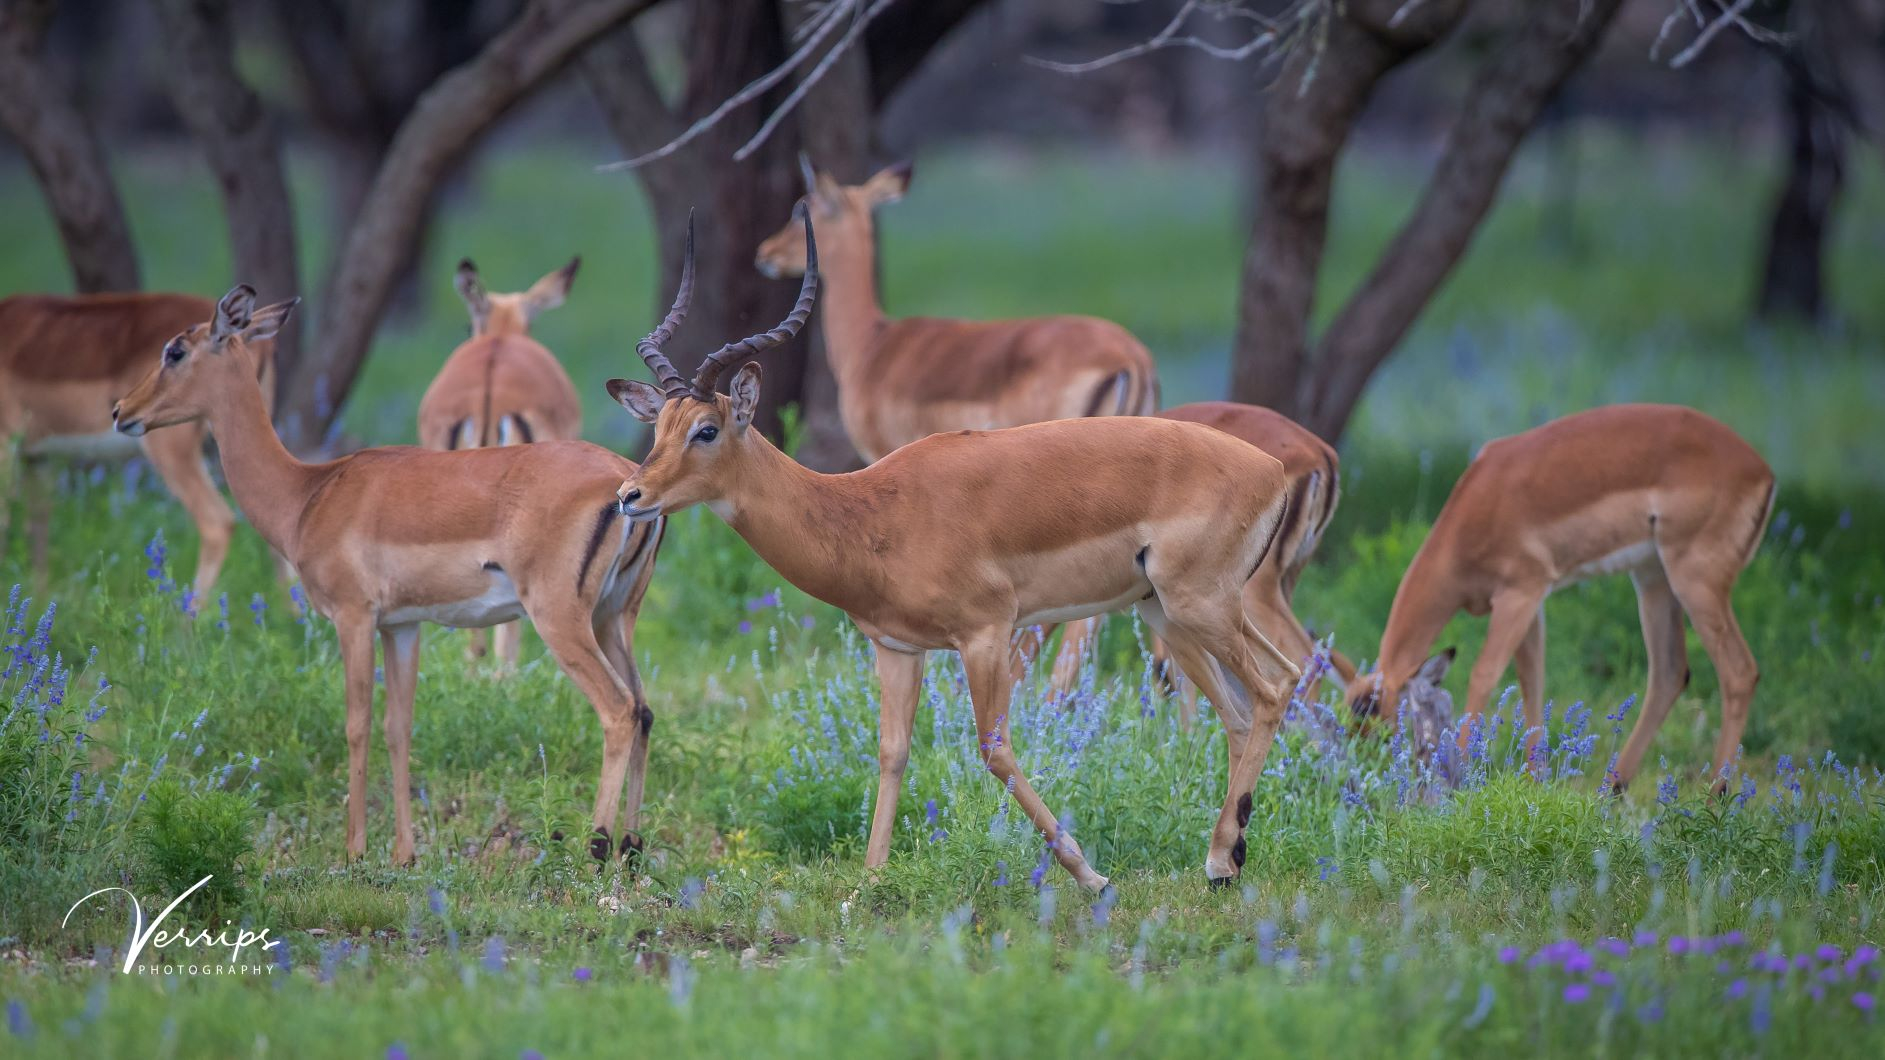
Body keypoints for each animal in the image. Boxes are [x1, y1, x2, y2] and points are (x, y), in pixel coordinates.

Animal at [0, 292, 278, 595]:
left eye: (175, 352)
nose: (119, 410)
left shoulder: (7, 443)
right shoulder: (37, 457)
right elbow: (38, 525)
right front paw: (40, 598)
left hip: (171, 451)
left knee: (218, 521)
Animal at [613, 210, 1299, 889]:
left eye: (706, 429)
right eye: (661, 426)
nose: (629, 495)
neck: (866, 512)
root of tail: (1273, 470)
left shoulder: (985, 635)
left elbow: (994, 749)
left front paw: (1091, 877)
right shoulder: (896, 647)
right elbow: (892, 752)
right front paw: (871, 879)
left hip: (1197, 607)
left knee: (1270, 692)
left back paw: (1218, 861)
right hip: (1171, 613)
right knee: (1259, 698)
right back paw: (1227, 859)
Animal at [1344, 405, 1775, 792]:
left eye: (1382, 722)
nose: (1358, 778)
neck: (1477, 507)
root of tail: (1762, 472)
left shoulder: (1519, 593)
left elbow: (1484, 674)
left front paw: (1459, 776)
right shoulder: (1532, 602)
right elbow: (1532, 680)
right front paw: (1534, 781)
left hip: (1695, 581)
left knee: (1739, 671)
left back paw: (1716, 798)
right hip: (1653, 578)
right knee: (1670, 672)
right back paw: (1612, 790)